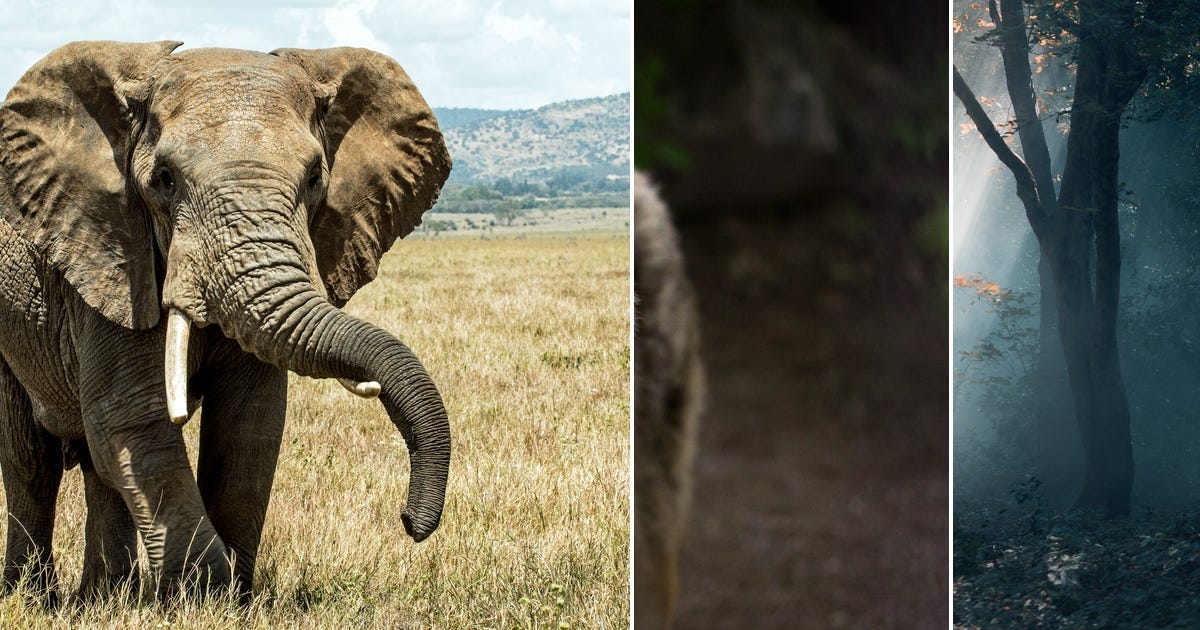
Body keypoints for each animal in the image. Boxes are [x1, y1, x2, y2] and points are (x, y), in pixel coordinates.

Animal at [0, 41, 452, 602]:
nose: (409, 521)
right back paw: (33, 597)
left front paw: (232, 598)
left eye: (315, 179)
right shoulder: (112, 258)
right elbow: (133, 419)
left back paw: (104, 599)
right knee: (31, 462)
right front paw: (202, 595)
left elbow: (248, 425)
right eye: (164, 180)